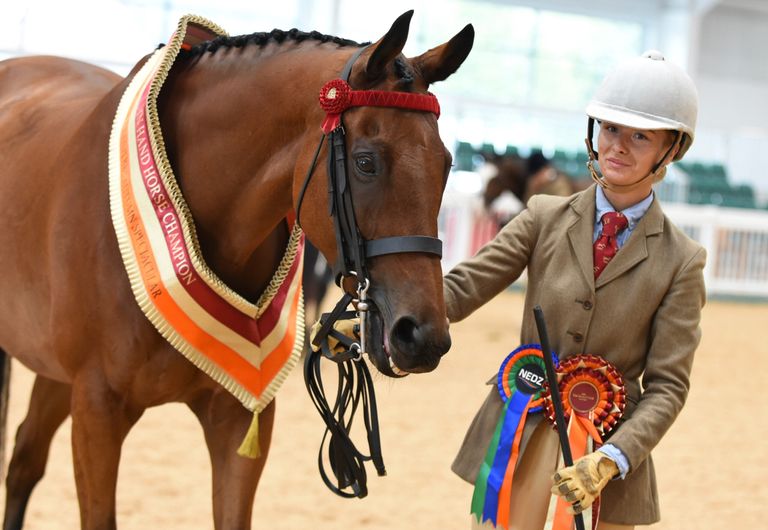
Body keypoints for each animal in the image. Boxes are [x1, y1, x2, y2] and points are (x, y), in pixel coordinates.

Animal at [0, 10, 473, 529]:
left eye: (446, 164)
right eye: (366, 162)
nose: (422, 336)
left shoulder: (239, 414)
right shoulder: (97, 409)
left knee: (24, 460)